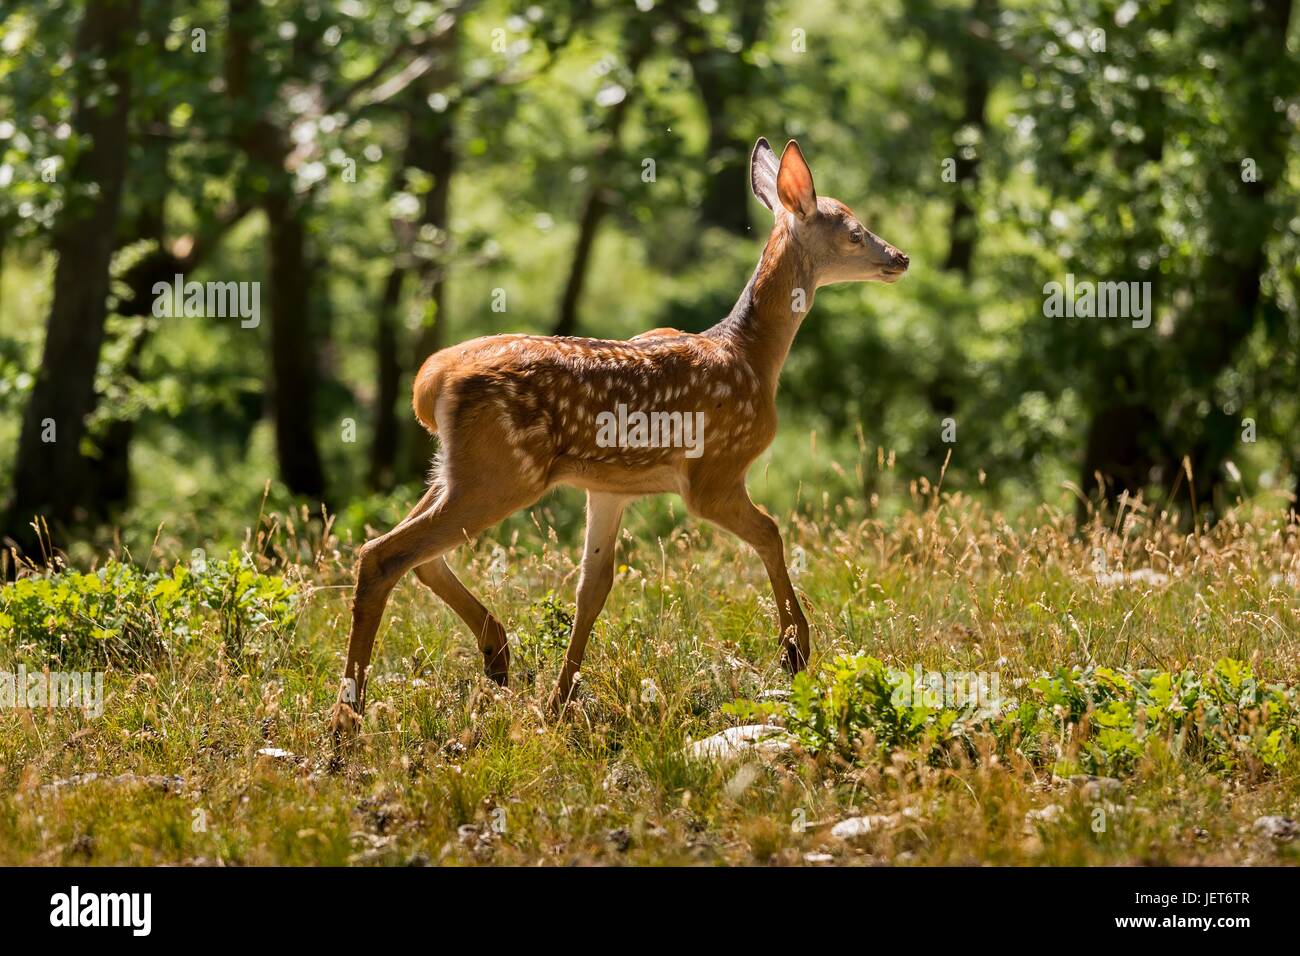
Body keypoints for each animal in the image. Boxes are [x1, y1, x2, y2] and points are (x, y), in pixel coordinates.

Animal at [330, 137, 909, 737]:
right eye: (854, 231)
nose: (900, 258)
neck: (752, 356)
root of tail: (430, 379)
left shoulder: (607, 489)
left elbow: (593, 587)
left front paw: (559, 701)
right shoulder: (713, 474)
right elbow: (772, 532)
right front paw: (796, 648)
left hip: (457, 469)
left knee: (416, 555)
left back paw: (496, 653)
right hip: (501, 472)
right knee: (384, 554)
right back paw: (348, 716)